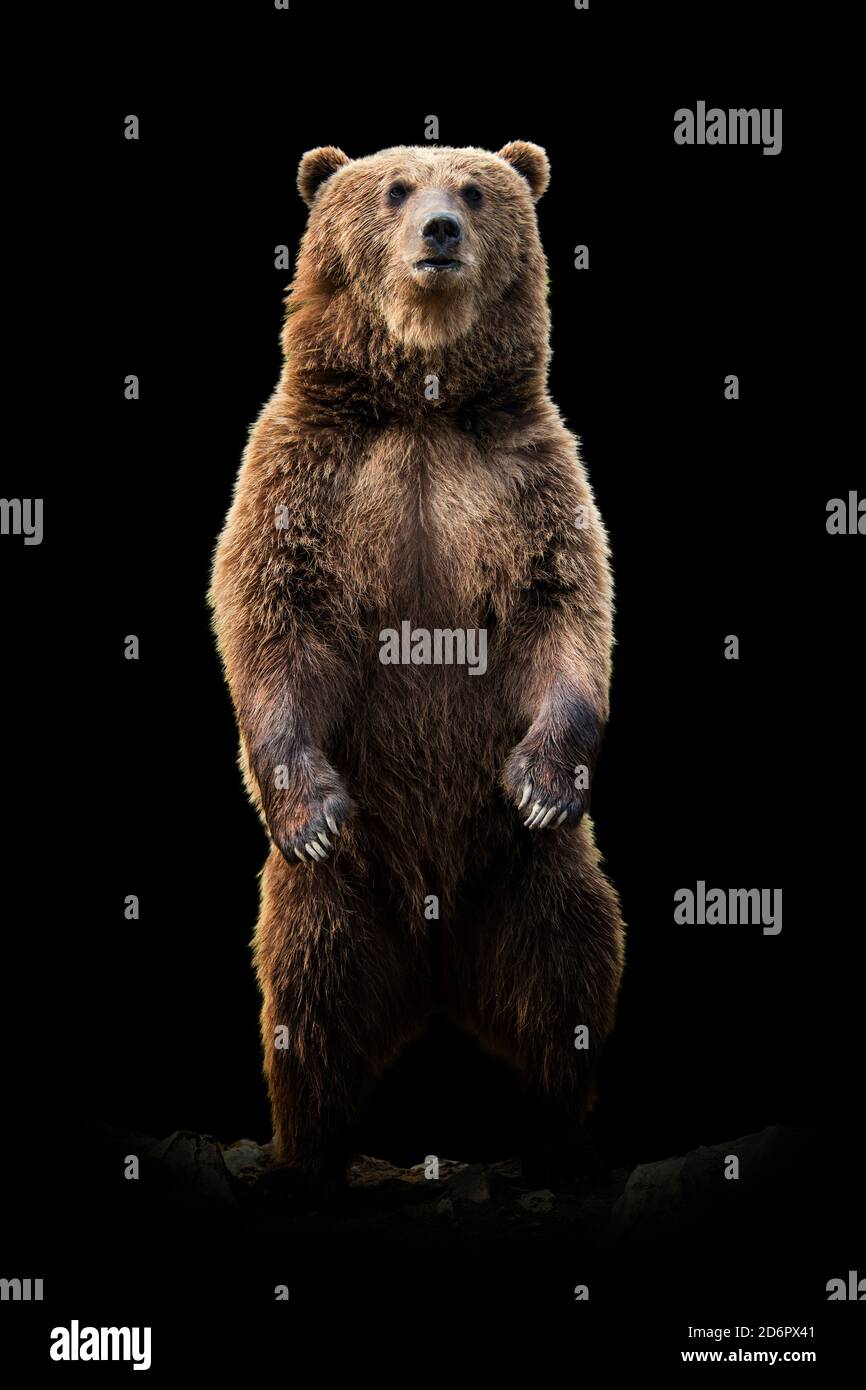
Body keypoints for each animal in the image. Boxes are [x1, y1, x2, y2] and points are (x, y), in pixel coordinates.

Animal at [209, 141, 625, 1194]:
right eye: (395, 188)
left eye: (474, 189)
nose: (440, 229)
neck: (423, 405)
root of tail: (437, 964)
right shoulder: (307, 475)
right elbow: (275, 621)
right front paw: (310, 810)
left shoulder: (525, 479)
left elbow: (563, 611)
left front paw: (544, 782)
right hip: (341, 897)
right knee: (307, 1001)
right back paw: (304, 1157)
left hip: (528, 877)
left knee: (568, 976)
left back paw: (561, 1149)